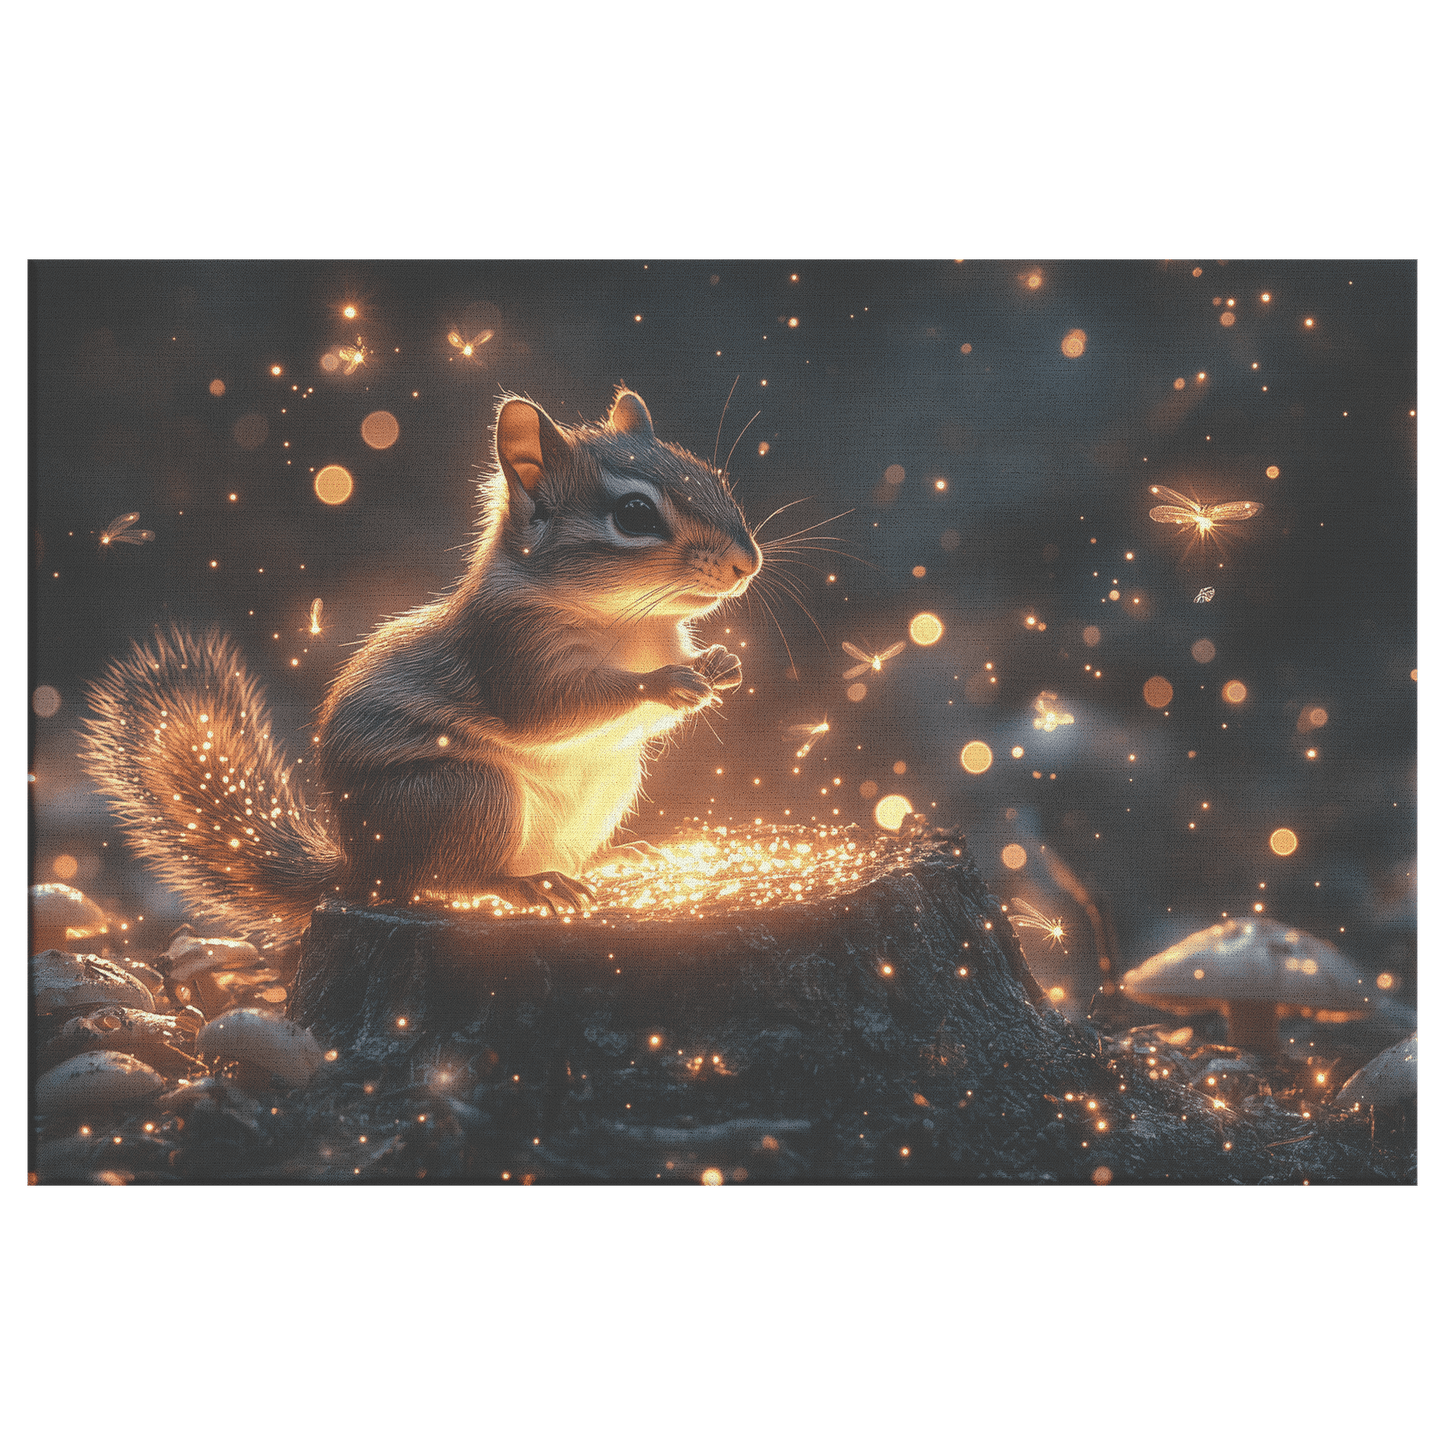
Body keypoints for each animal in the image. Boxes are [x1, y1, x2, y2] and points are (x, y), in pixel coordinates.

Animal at [82, 387, 762, 945]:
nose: (747, 563)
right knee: (444, 880)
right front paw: (664, 681)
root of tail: (358, 868)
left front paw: (719, 663)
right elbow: (549, 711)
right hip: (468, 794)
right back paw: (522, 884)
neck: (629, 620)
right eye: (635, 515)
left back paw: (602, 862)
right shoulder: (509, 649)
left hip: (607, 784)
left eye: (712, 476)